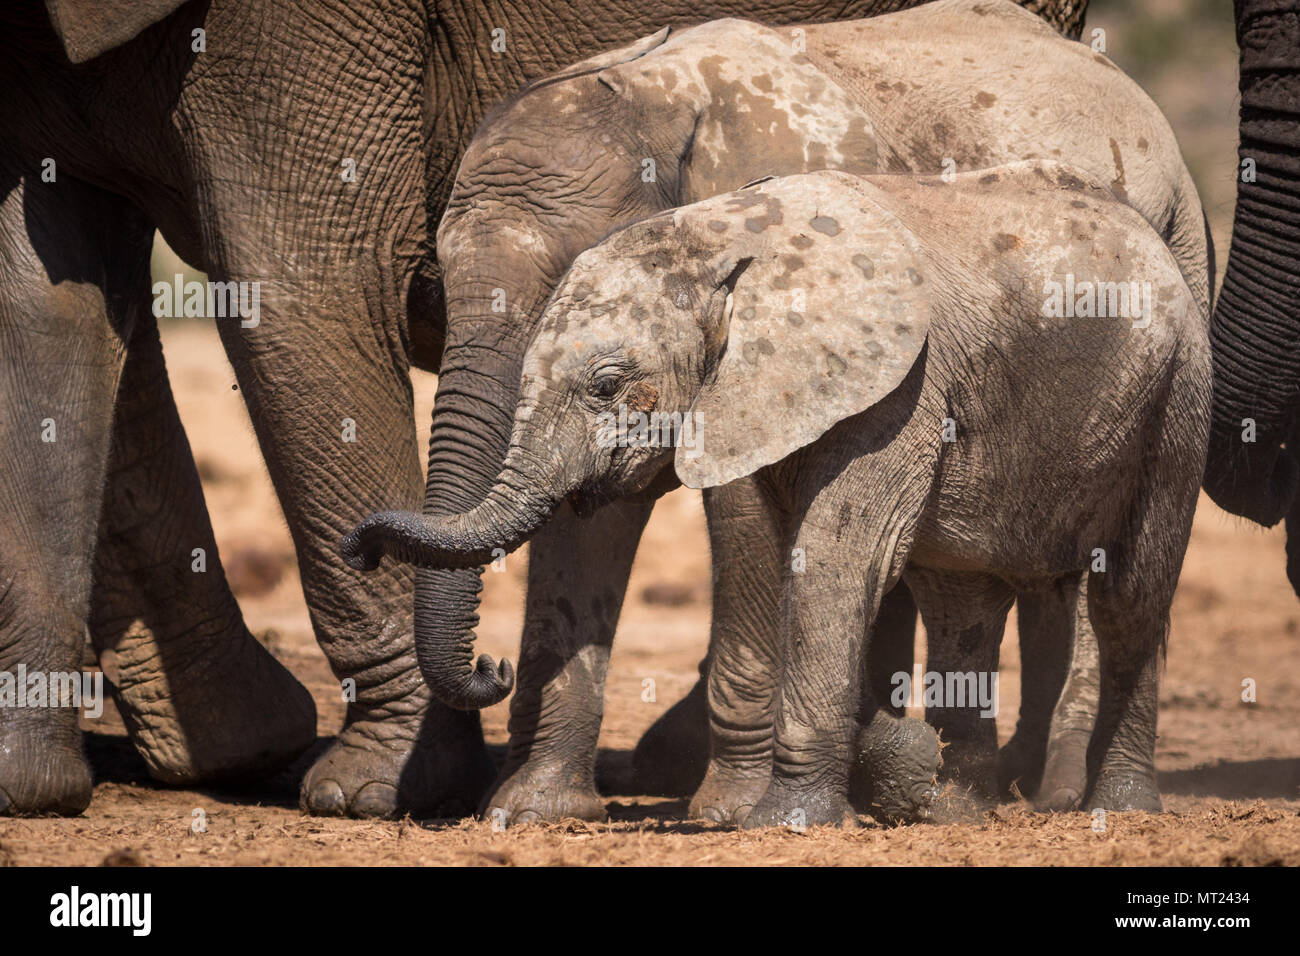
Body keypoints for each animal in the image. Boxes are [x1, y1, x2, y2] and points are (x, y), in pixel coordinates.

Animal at [348, 0, 1208, 824]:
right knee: (988, 584)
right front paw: (534, 811)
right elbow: (589, 523)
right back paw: (973, 795)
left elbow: (757, 528)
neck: (658, 97)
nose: (487, 665)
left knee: (1117, 580)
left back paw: (1073, 796)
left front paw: (734, 811)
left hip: (1177, 341)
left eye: (607, 381)